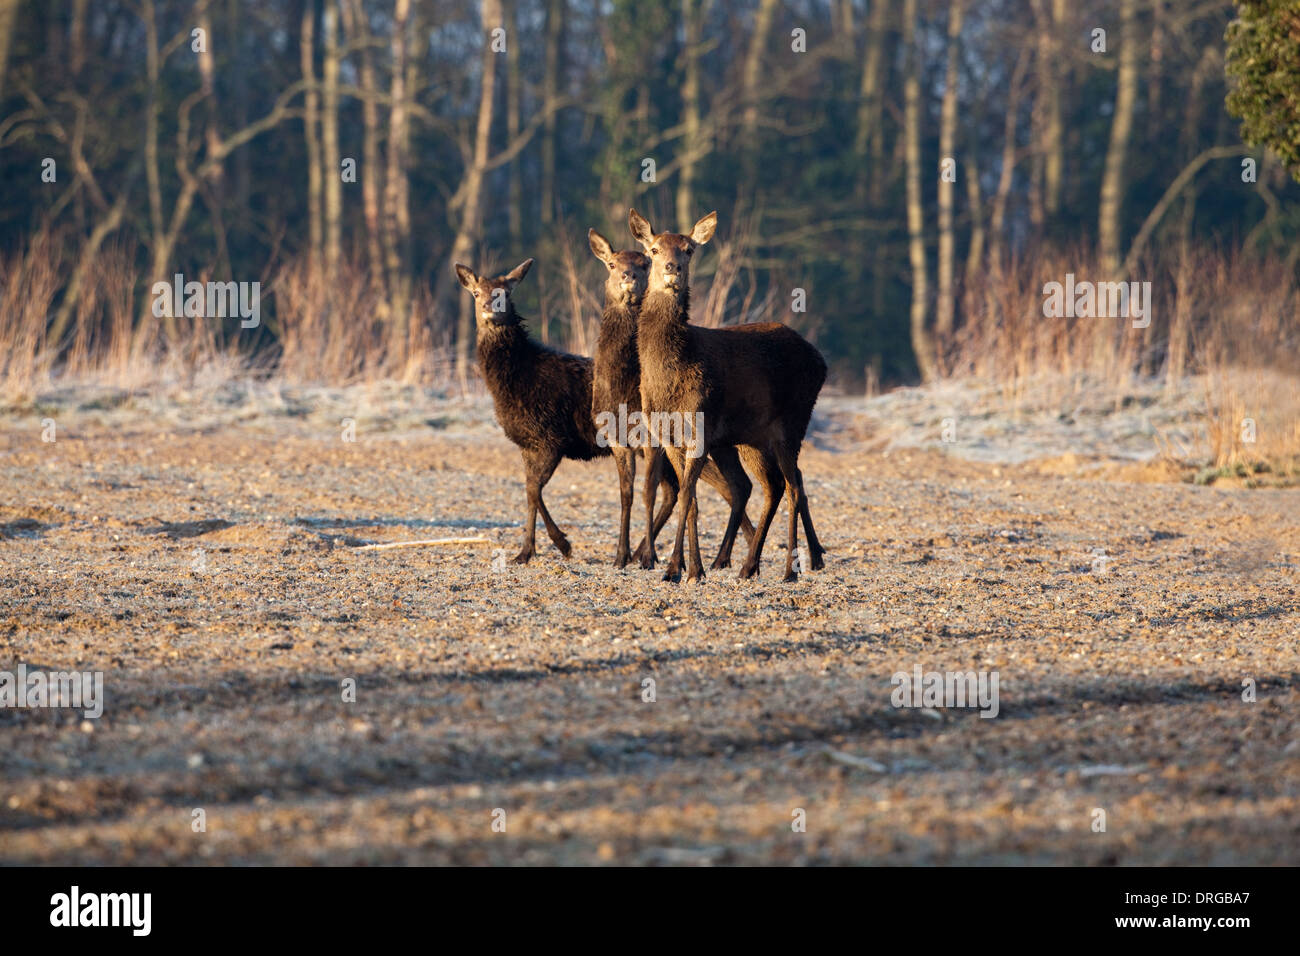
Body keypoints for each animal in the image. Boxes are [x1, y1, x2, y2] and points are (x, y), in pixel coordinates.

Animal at [455, 258, 609, 564]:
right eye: (476, 293)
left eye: (506, 293)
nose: (490, 307)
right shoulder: (526, 444)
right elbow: (528, 492)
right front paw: (524, 552)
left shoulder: (552, 438)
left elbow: (532, 489)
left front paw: (563, 544)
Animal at [587, 229, 755, 569]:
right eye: (611, 263)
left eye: (643, 263)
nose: (628, 276)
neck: (621, 390)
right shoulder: (617, 438)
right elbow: (626, 493)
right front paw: (621, 555)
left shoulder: (652, 438)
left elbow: (648, 491)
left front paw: (650, 556)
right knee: (714, 486)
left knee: (723, 486)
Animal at [628, 208, 827, 584]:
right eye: (654, 250)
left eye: (688, 249)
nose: (672, 268)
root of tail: (821, 361)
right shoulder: (668, 435)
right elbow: (691, 500)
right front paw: (693, 568)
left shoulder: (700, 425)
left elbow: (687, 495)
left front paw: (675, 568)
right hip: (751, 438)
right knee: (774, 485)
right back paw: (750, 565)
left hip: (792, 421)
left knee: (793, 487)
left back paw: (790, 571)